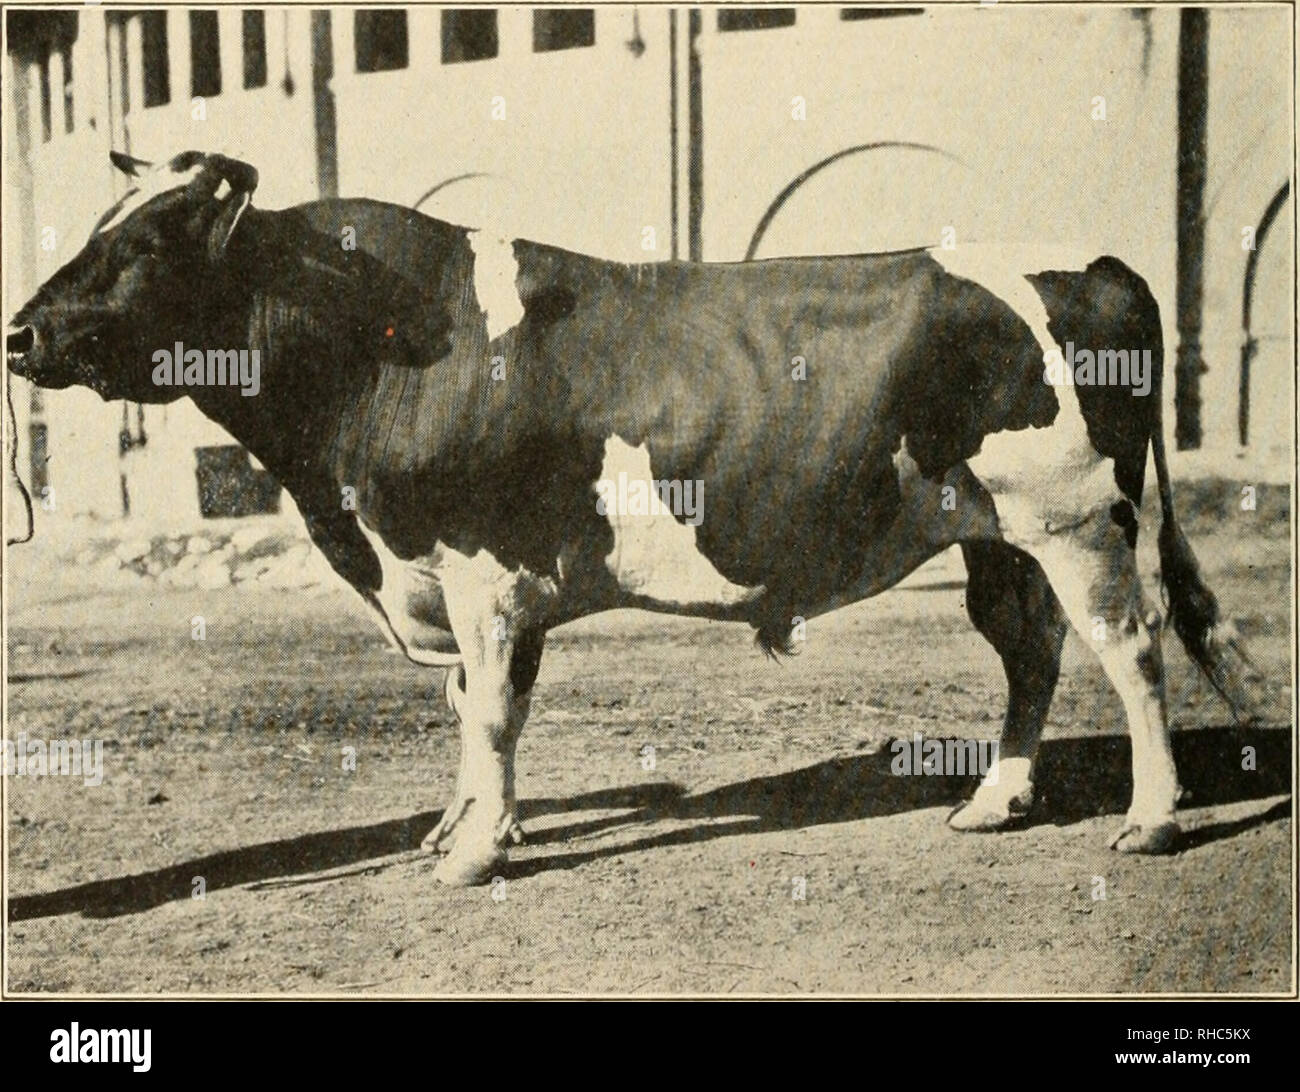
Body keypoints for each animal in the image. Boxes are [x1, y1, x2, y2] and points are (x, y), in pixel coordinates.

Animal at [7, 151, 1250, 885]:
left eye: (141, 244)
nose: (20, 332)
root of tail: (1091, 260)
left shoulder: (483, 571)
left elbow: (488, 717)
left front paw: (473, 856)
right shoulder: (471, 582)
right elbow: (476, 713)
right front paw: (463, 827)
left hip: (1077, 515)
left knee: (1131, 649)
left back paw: (1152, 818)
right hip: (998, 532)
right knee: (1032, 652)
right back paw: (996, 801)